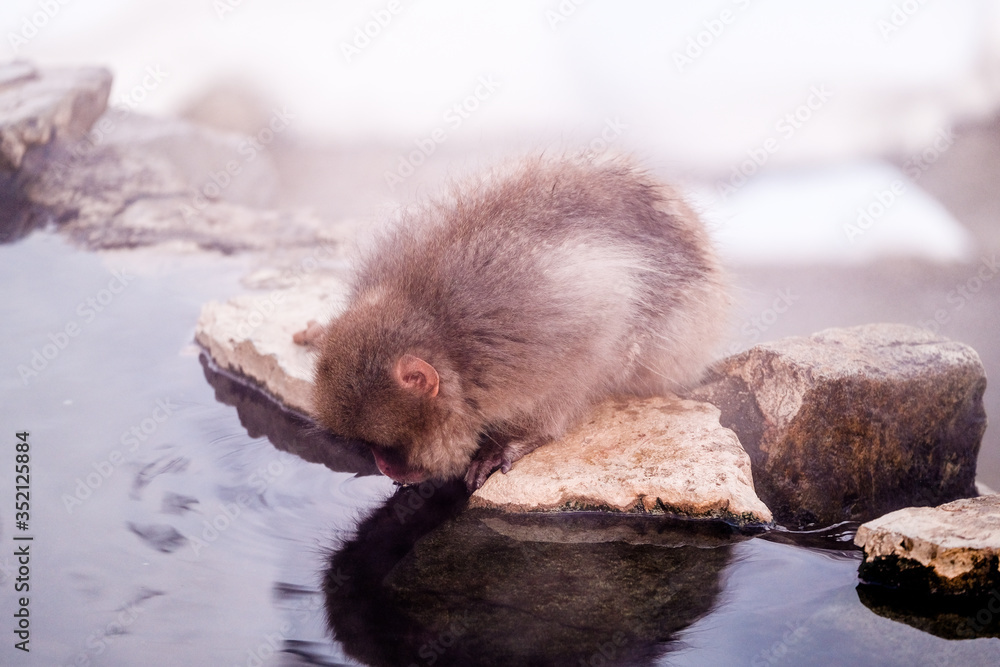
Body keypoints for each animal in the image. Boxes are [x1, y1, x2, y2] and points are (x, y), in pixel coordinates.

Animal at [297, 153, 729, 491]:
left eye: (389, 447)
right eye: (370, 448)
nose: (386, 469)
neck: (444, 343)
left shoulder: (549, 348)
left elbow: (572, 382)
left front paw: (517, 440)